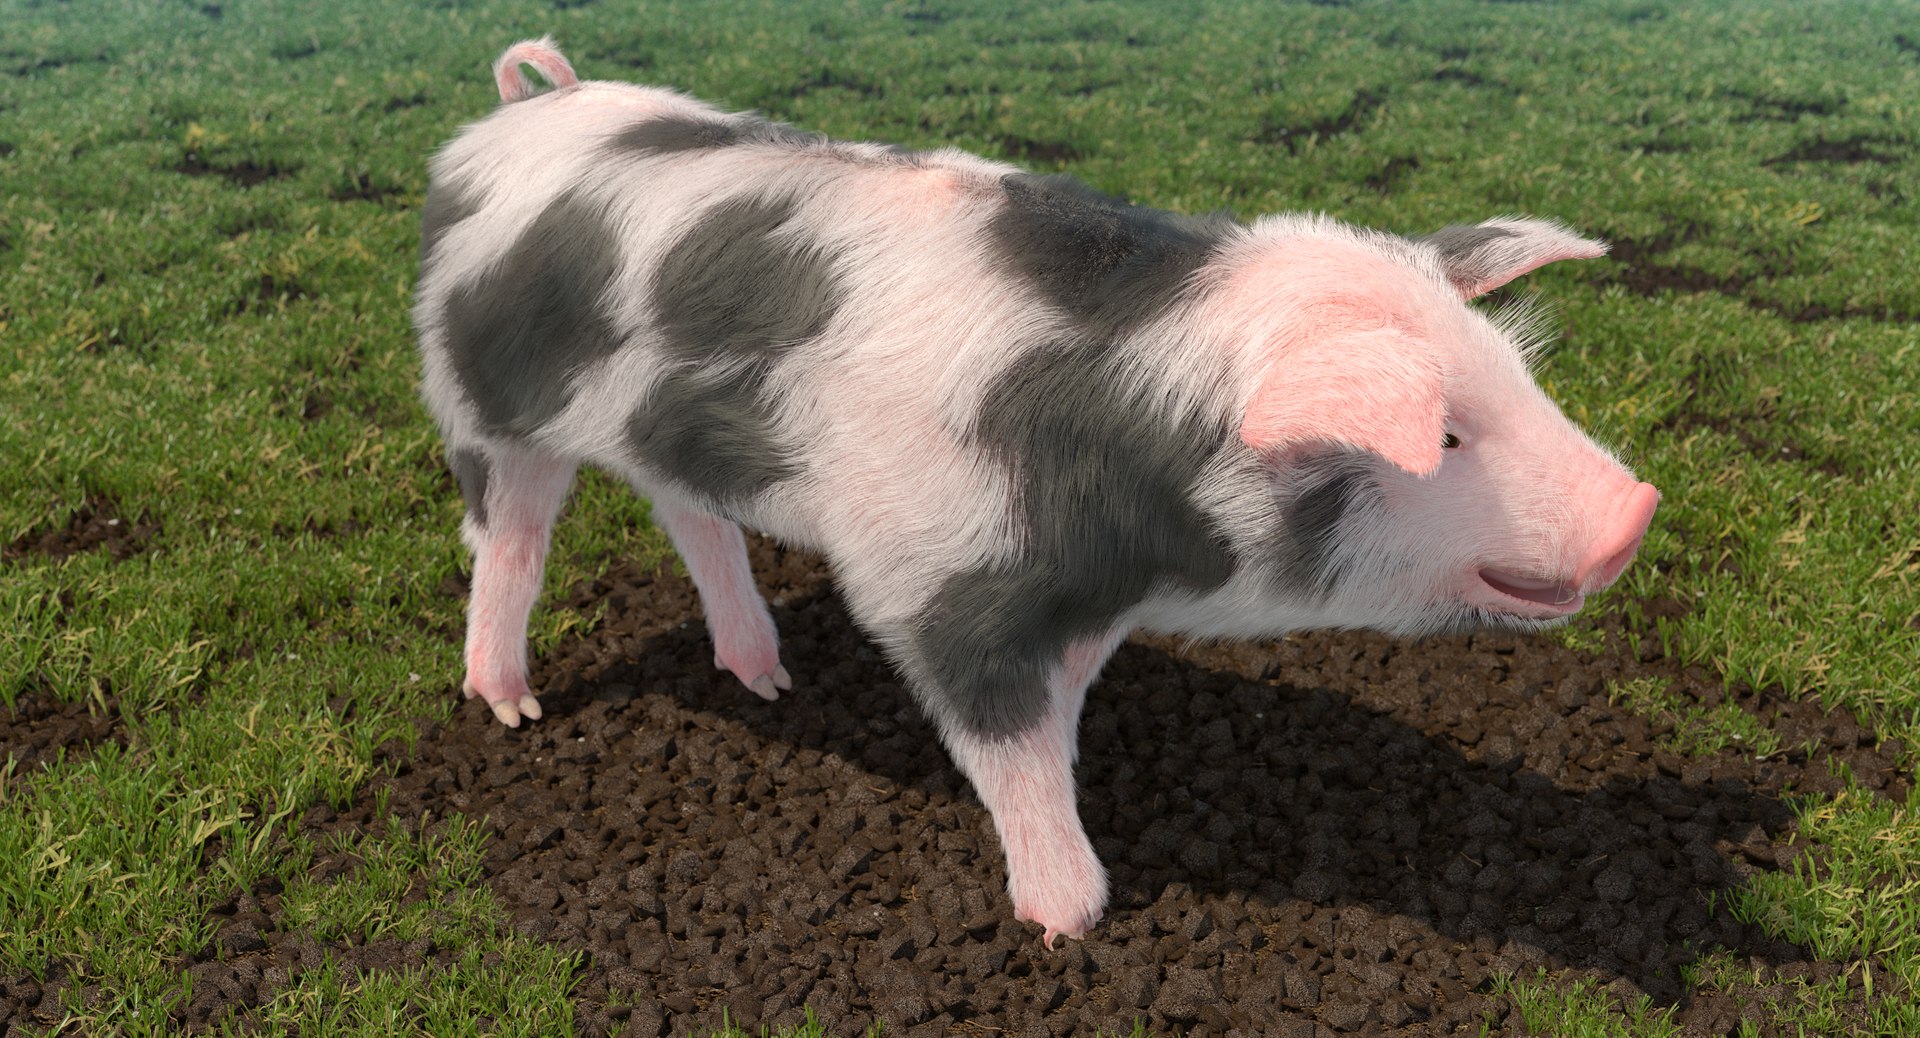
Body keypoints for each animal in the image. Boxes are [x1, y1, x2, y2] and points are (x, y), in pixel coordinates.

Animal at [414, 38, 1660, 946]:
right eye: (1443, 435)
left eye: (1516, 379)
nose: (1637, 509)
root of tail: (510, 121)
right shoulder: (940, 589)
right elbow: (1009, 754)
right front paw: (1071, 925)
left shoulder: (1076, 611)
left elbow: (1058, 728)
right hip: (478, 404)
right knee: (508, 542)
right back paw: (511, 706)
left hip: (676, 435)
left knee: (693, 515)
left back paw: (767, 680)